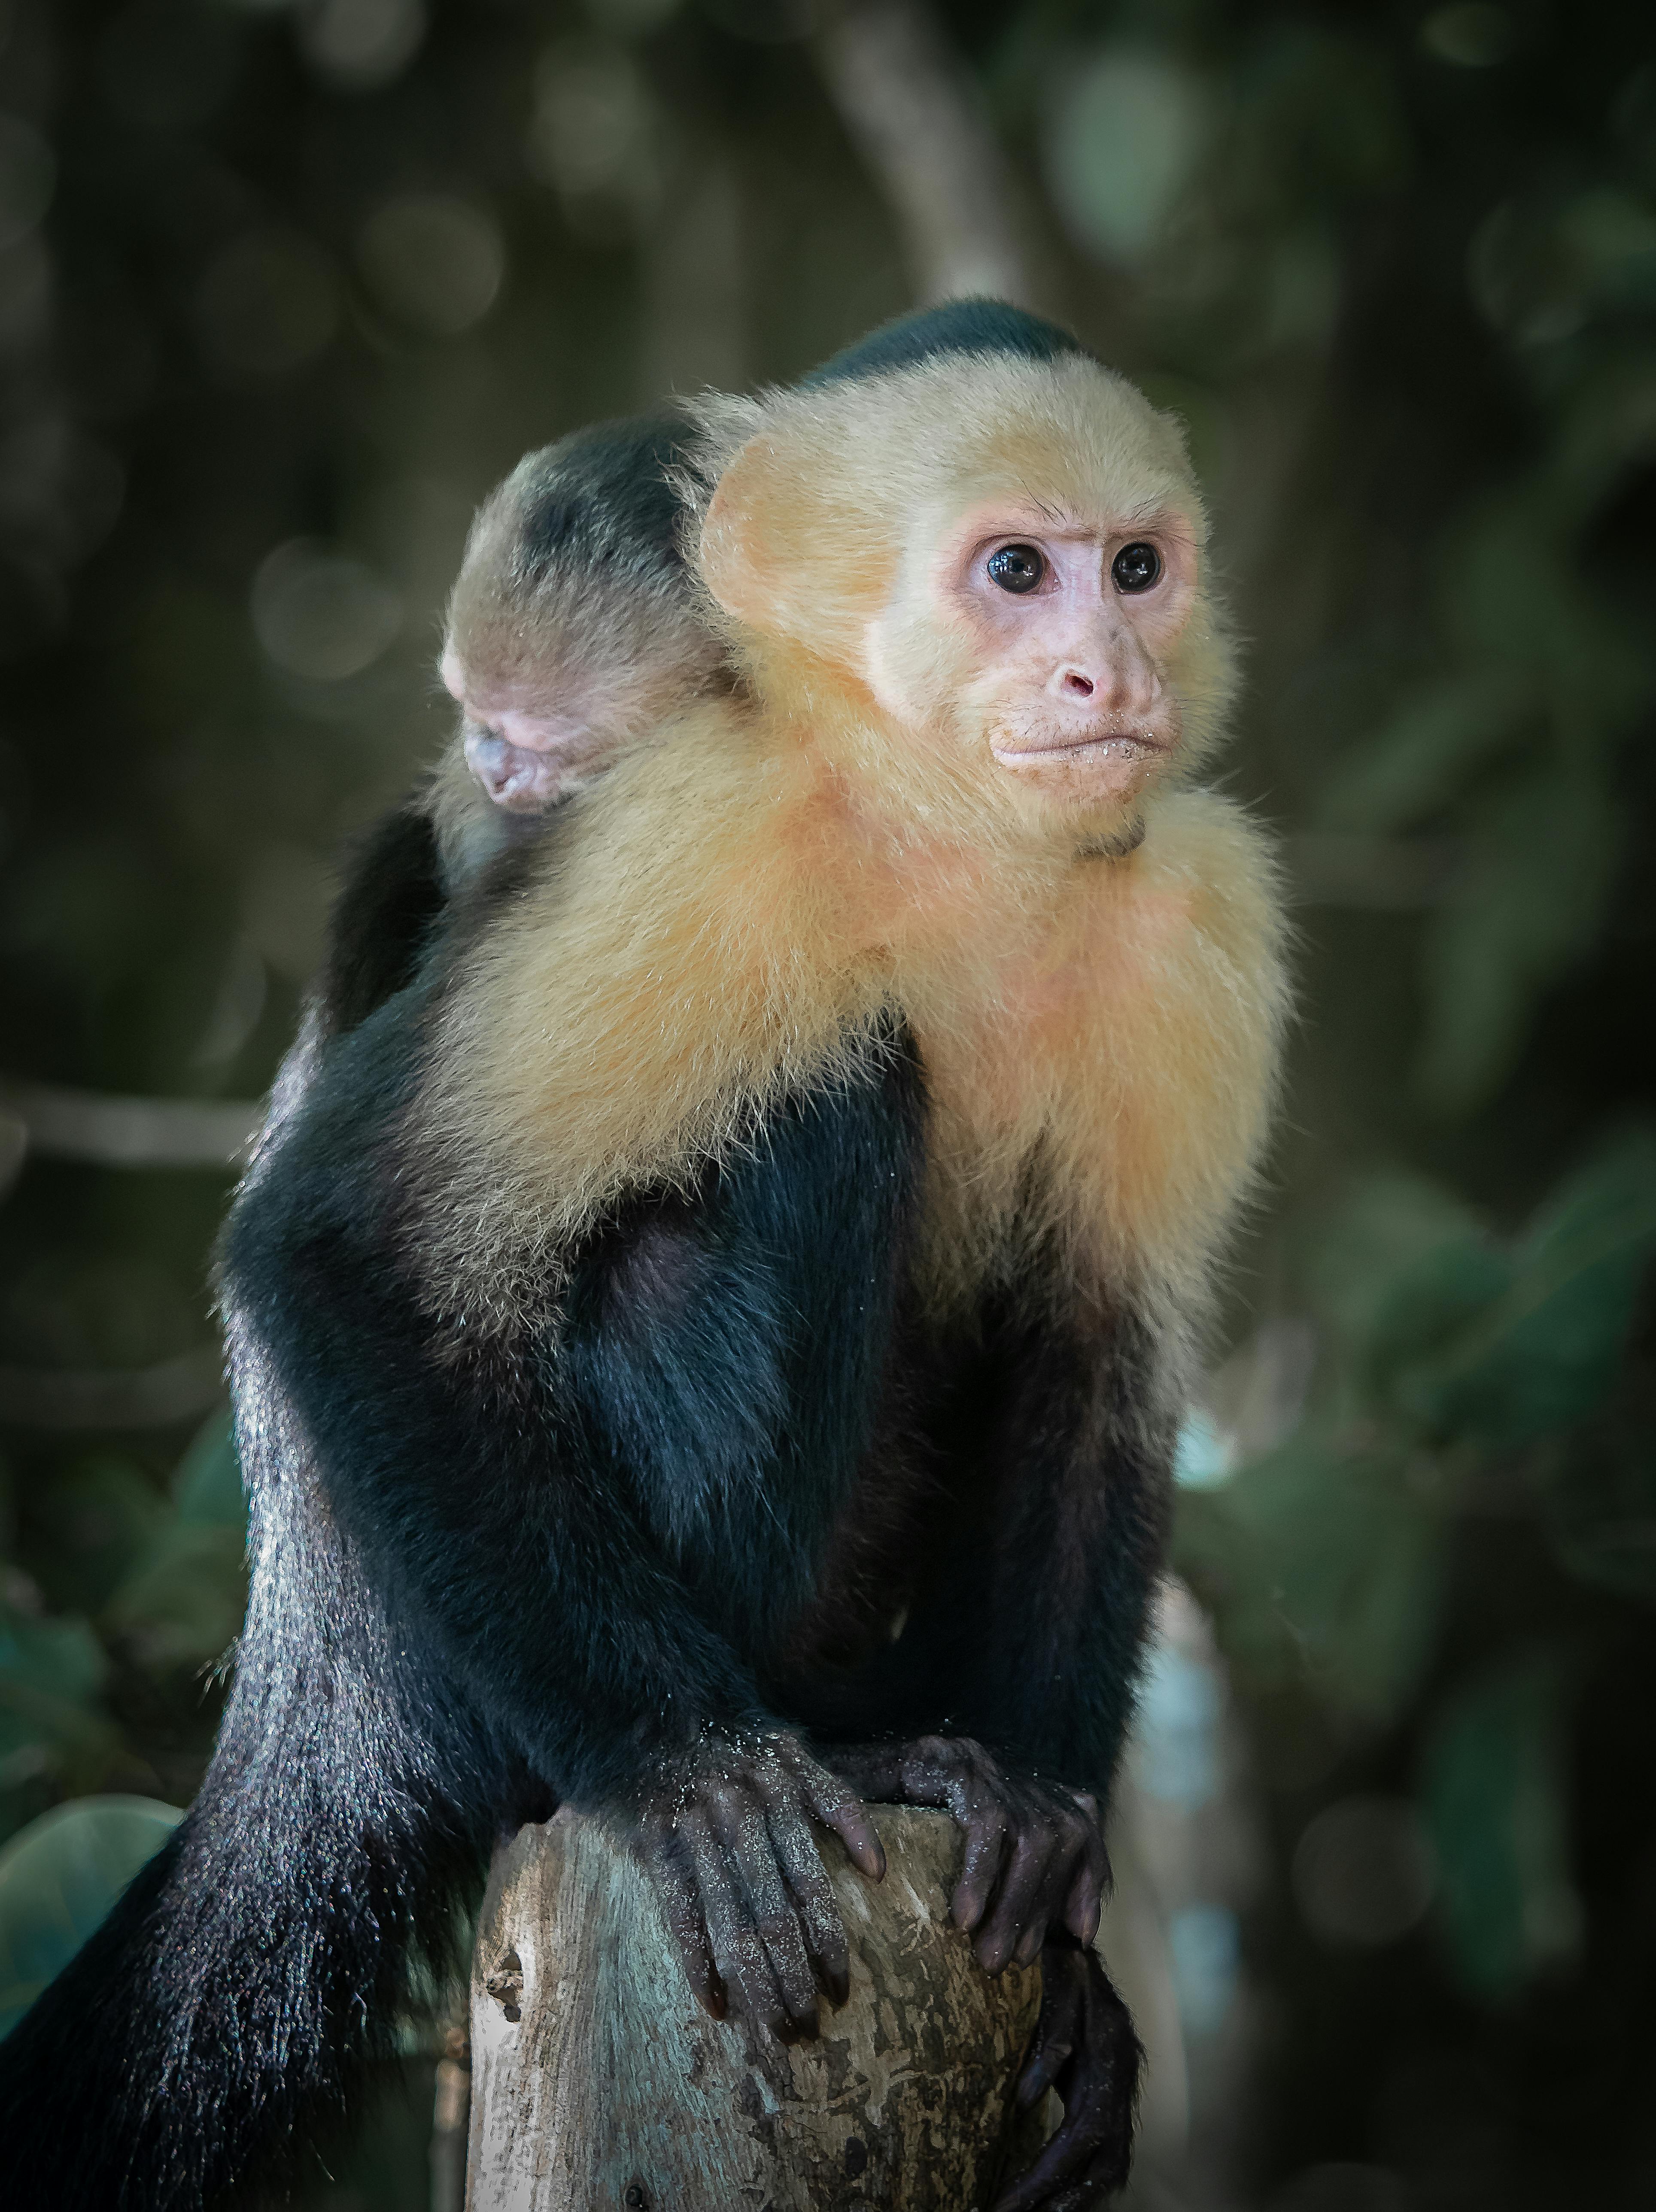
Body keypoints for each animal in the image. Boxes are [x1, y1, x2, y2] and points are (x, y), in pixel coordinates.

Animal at [0, 303, 1289, 2212]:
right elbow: (345, 1246)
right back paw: (808, 1741)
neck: (950, 839)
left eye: (1134, 569)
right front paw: (685, 1777)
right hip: (470, 1683)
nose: (1104, 673)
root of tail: (321, 1678)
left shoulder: (1197, 905)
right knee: (833, 1082)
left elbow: (1094, 1368)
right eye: (1015, 573)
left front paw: (1058, 1865)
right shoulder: (699, 836)